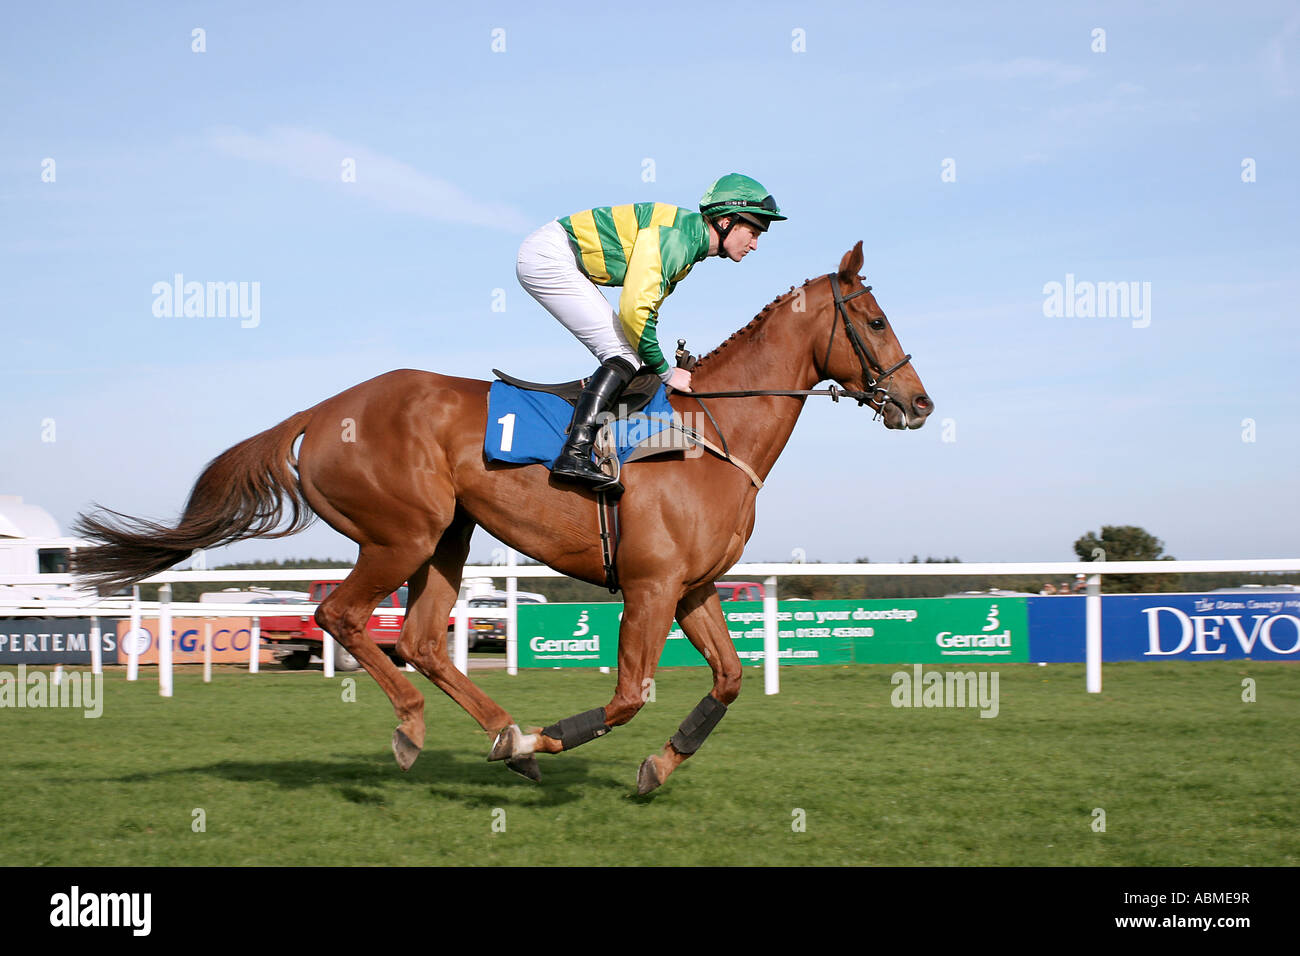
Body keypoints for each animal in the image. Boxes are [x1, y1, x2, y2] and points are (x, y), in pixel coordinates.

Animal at [72, 241, 933, 794]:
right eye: (877, 321)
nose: (920, 403)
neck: (709, 434)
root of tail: (320, 411)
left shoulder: (692, 588)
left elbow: (728, 680)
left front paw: (654, 767)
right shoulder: (650, 587)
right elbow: (628, 694)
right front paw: (556, 738)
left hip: (448, 535)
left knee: (421, 639)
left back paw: (501, 736)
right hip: (403, 533)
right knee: (342, 616)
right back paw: (425, 730)